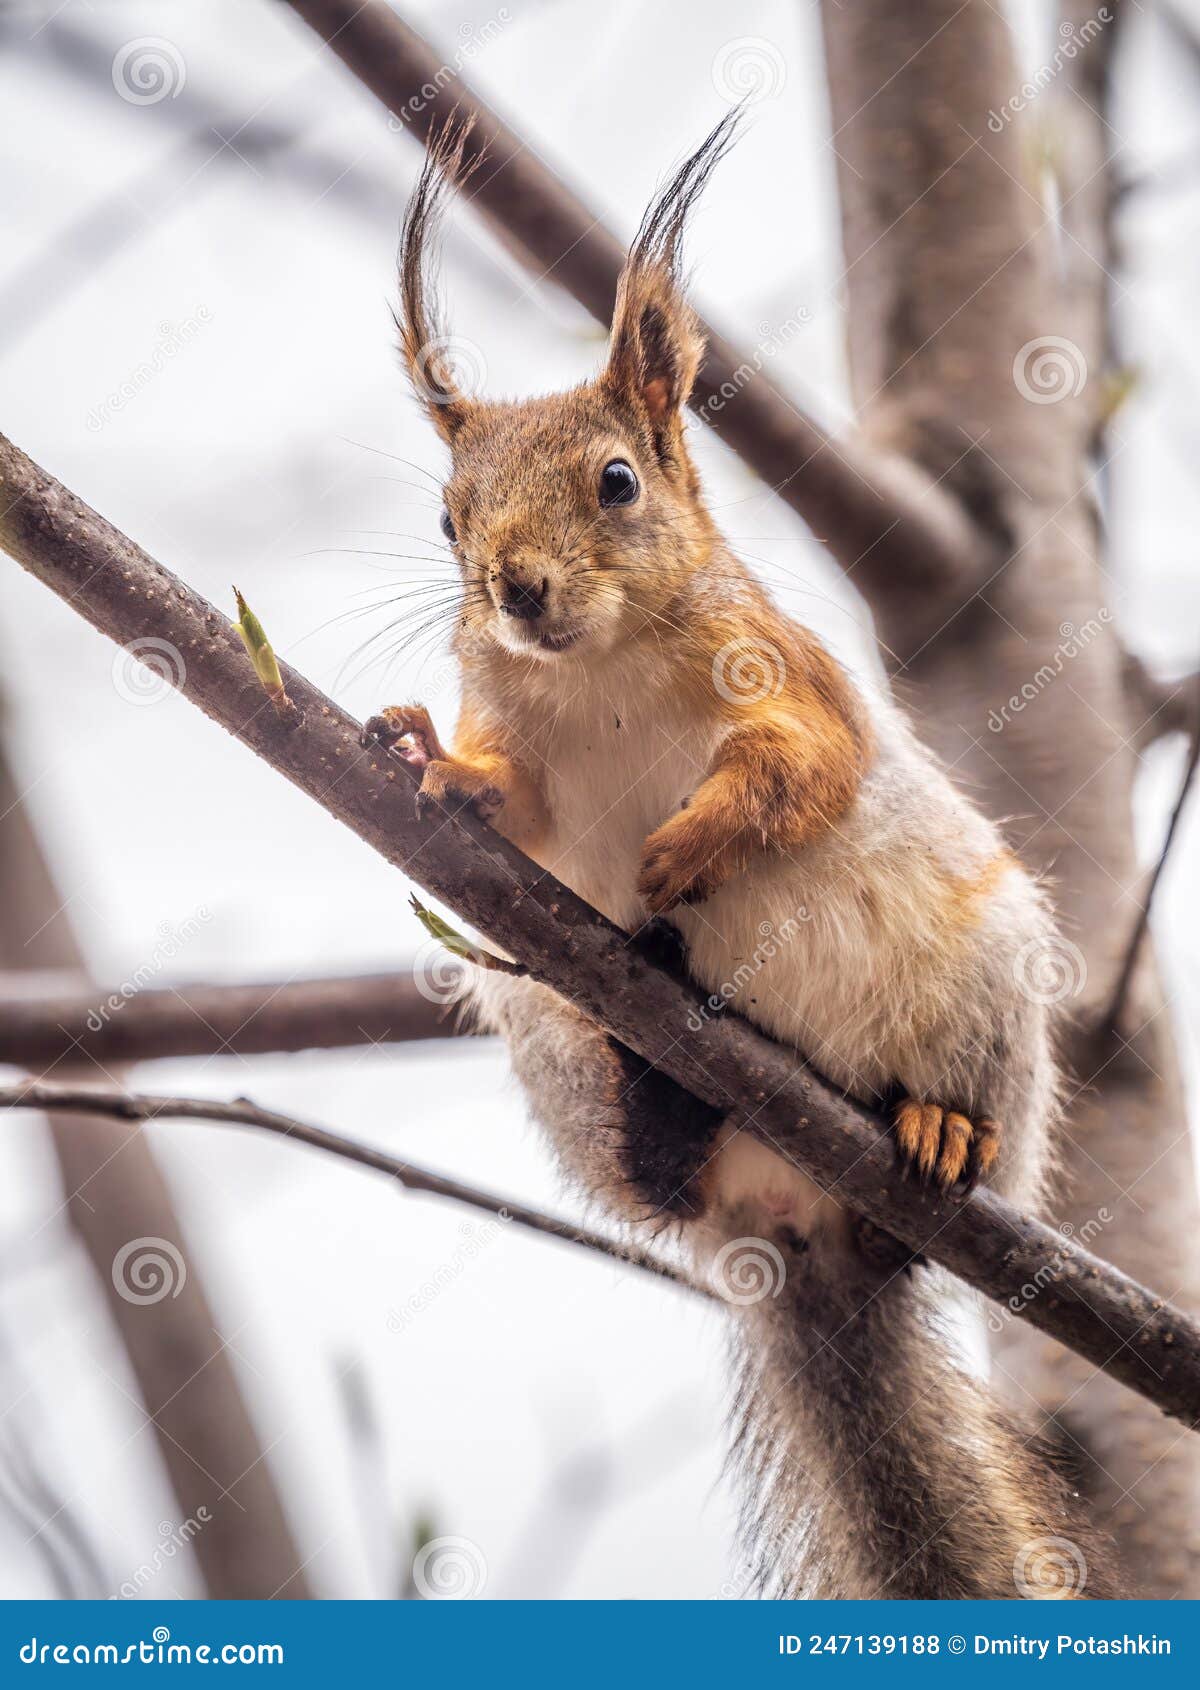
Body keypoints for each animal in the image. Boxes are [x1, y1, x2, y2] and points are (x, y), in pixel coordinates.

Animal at [364, 115, 1118, 1600]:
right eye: (448, 520)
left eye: (617, 481)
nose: (517, 588)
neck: (595, 667)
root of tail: (795, 1229)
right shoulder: (527, 749)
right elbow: (511, 798)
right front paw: (434, 764)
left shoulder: (798, 687)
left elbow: (797, 775)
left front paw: (687, 846)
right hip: (552, 1054)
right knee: (659, 1169)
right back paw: (662, 1104)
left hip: (994, 997)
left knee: (925, 1189)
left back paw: (936, 1130)